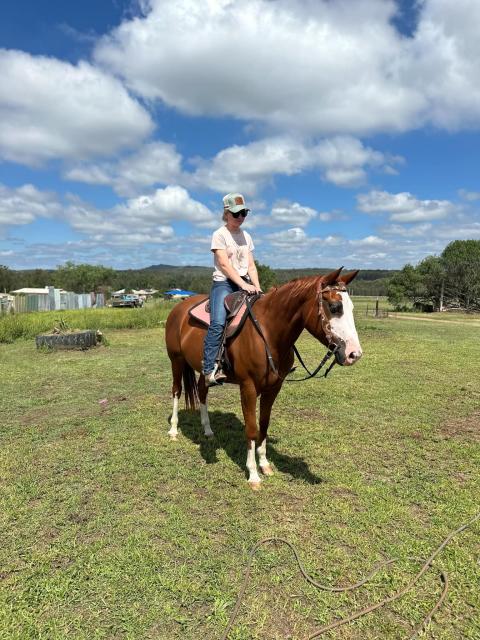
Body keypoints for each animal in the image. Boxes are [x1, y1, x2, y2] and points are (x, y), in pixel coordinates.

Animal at [165, 268, 362, 490]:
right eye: (335, 307)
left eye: (351, 307)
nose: (354, 354)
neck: (268, 332)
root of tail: (178, 308)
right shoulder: (248, 387)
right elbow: (251, 429)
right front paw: (253, 474)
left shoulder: (273, 388)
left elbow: (264, 425)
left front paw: (265, 465)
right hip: (176, 360)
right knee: (176, 390)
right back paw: (173, 430)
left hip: (202, 371)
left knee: (202, 392)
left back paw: (207, 431)